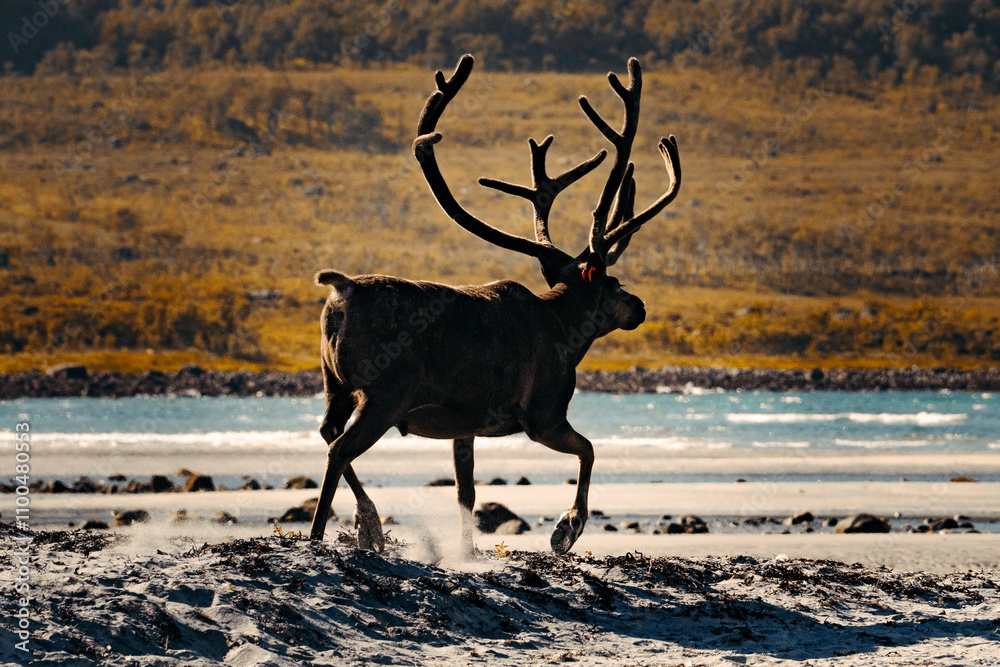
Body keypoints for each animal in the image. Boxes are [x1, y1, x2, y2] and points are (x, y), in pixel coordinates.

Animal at [309, 54, 680, 556]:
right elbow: (589, 449)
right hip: (385, 393)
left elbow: (466, 491)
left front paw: (467, 553)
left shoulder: (463, 421)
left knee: (327, 433)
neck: (565, 328)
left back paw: (366, 525)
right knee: (339, 448)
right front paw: (566, 530)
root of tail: (342, 290)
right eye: (614, 282)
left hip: (335, 384)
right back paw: (335, 532)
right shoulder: (543, 412)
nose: (639, 306)